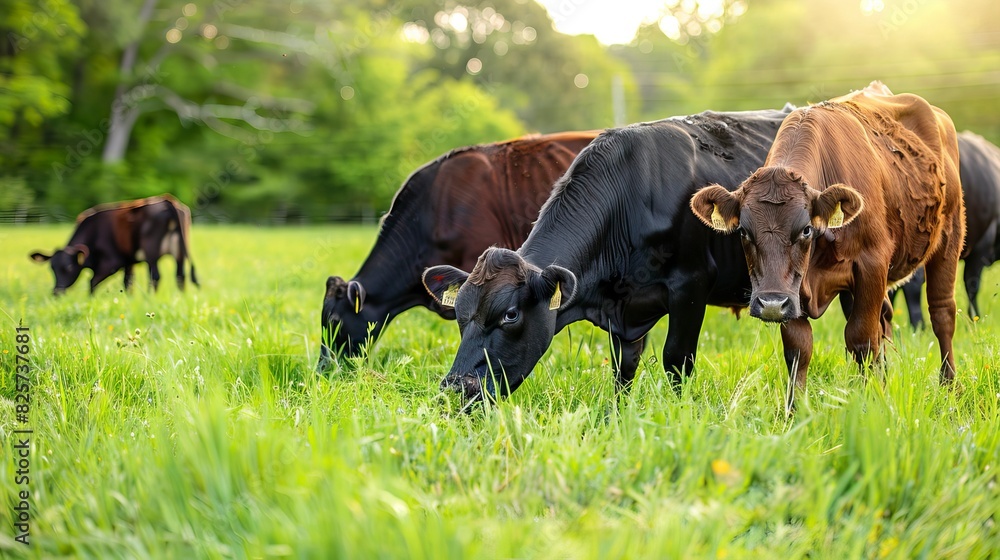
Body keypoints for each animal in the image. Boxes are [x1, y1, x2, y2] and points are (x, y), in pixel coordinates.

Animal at [30, 194, 198, 295]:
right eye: (52, 268)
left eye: (69, 267)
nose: (56, 291)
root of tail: (167, 199)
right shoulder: (129, 262)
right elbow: (128, 283)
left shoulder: (112, 262)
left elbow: (92, 282)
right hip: (179, 251)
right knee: (180, 276)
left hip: (152, 252)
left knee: (155, 276)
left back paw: (150, 298)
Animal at [422, 107, 792, 404]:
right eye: (459, 315)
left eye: (510, 315)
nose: (456, 388)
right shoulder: (625, 309)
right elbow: (623, 369)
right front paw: (618, 415)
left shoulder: (691, 284)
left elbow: (676, 359)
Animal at [690, 82, 964, 412]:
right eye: (743, 232)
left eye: (806, 229)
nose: (770, 304)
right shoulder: (794, 290)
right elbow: (799, 347)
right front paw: (794, 411)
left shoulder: (871, 264)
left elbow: (861, 338)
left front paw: (871, 401)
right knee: (884, 321)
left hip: (949, 238)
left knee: (942, 315)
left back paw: (949, 388)